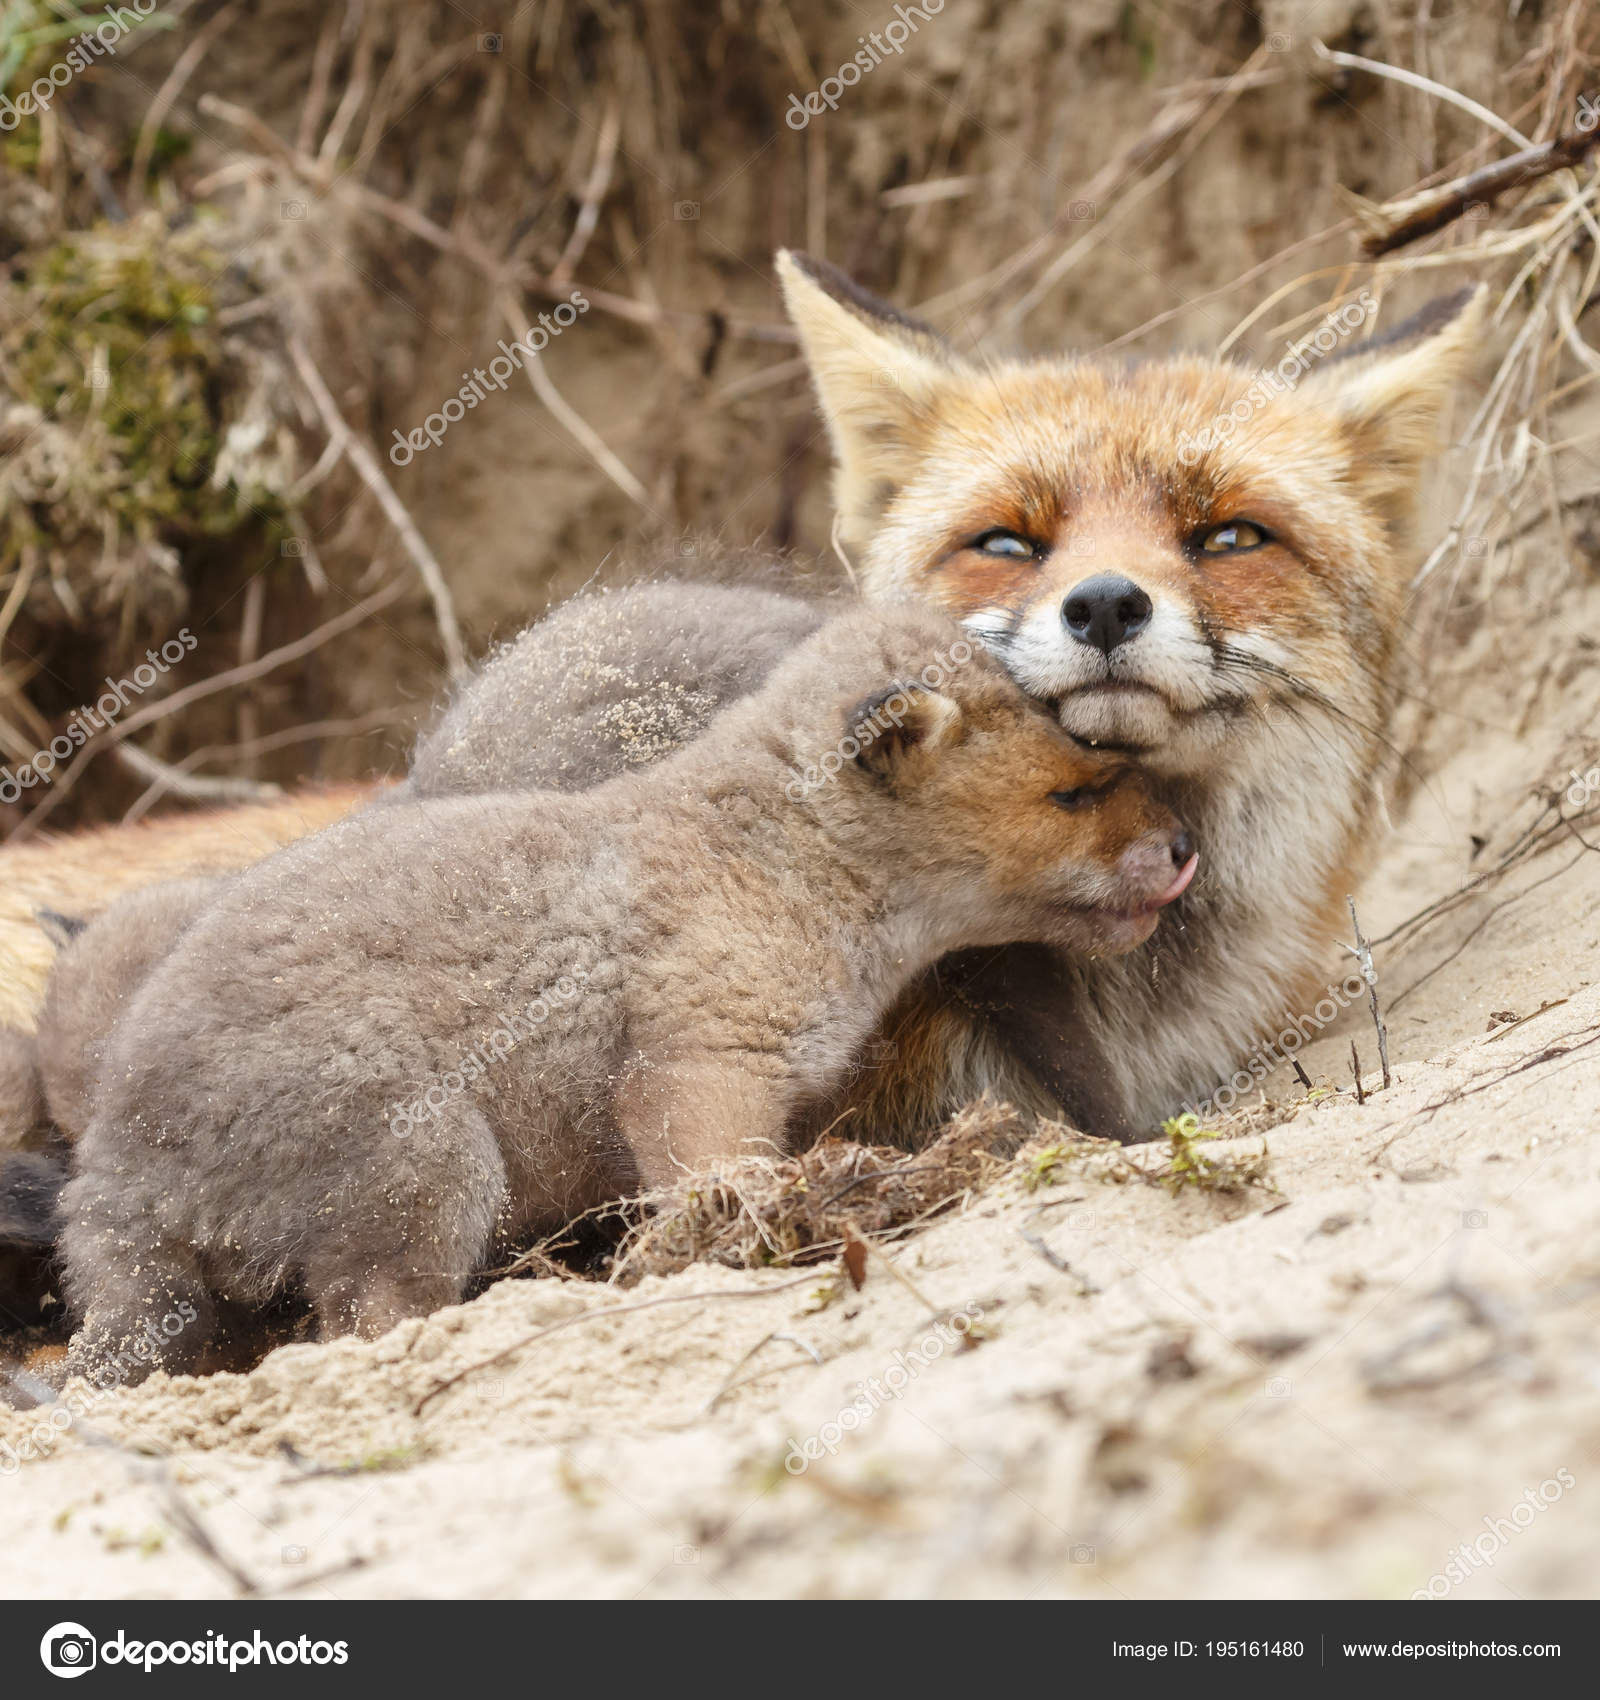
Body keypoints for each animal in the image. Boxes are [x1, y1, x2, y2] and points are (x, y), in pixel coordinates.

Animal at [58, 604, 1194, 1383]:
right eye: (1074, 791)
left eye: (1114, 757)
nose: (1185, 846)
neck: (777, 869)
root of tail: (113, 1168)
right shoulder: (691, 1069)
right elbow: (718, 1187)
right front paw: (771, 1234)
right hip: (437, 1162)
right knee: (363, 1325)